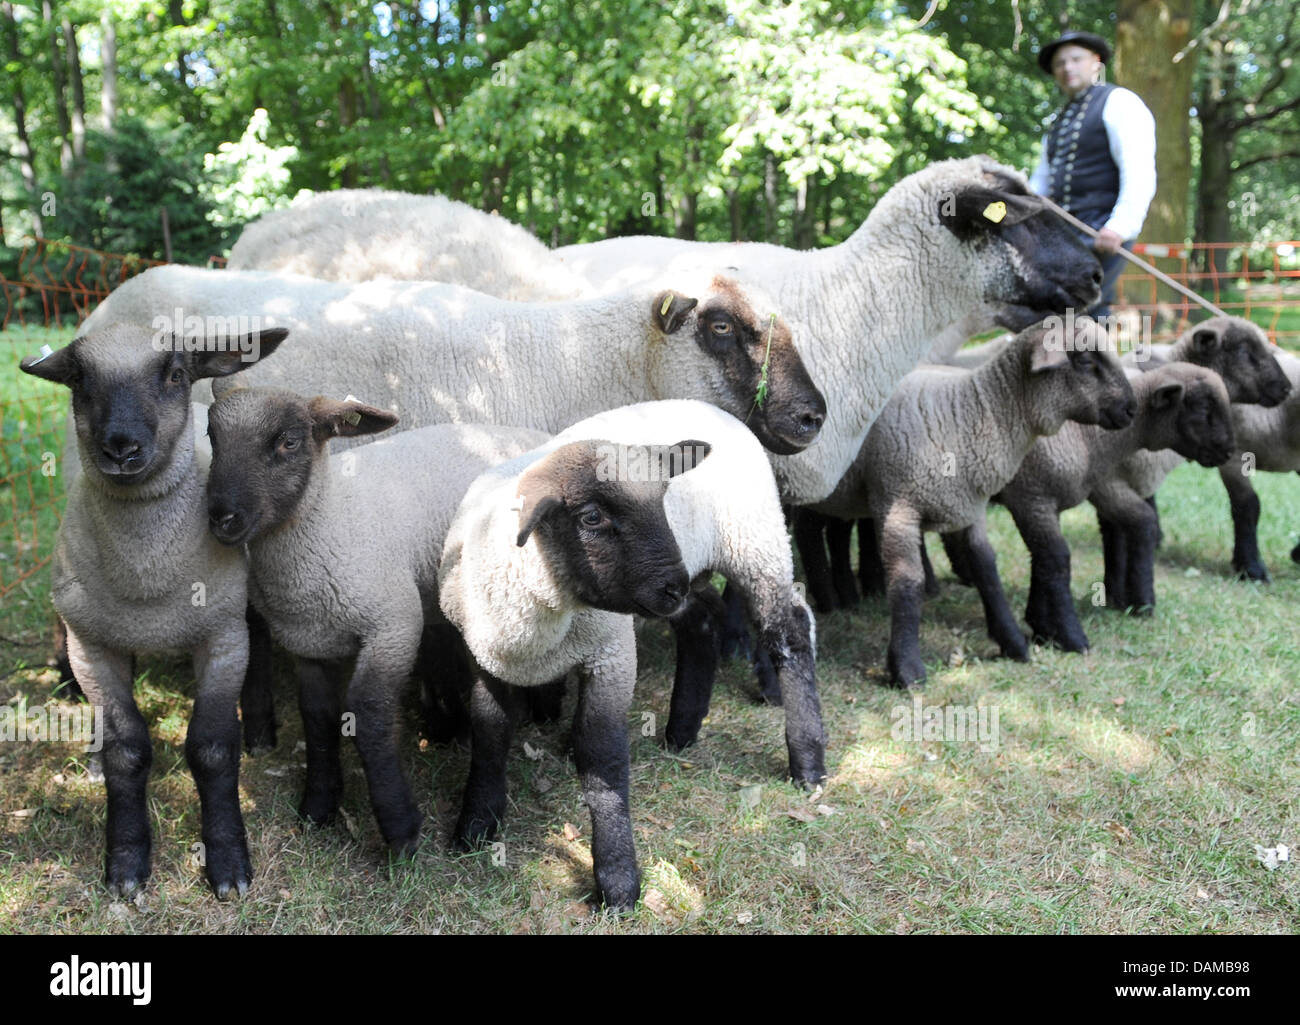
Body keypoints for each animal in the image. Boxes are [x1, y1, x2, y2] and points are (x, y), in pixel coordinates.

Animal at [18, 322, 290, 898]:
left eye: (176, 374)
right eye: (79, 379)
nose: (121, 446)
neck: (147, 577)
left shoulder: (222, 639)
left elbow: (212, 748)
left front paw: (228, 864)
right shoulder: (91, 646)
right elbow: (126, 748)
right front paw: (125, 863)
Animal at [204, 387, 551, 853]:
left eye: (288, 442)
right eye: (212, 436)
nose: (222, 518)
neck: (329, 522)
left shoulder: (392, 625)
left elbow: (367, 714)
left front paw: (401, 830)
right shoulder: (307, 643)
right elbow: (317, 718)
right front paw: (318, 807)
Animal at [802, 318, 1135, 687]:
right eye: (1086, 361)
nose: (1131, 409)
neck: (967, 413)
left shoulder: (970, 508)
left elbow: (988, 570)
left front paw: (1013, 643)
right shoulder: (898, 505)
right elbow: (908, 581)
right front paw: (906, 668)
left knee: (814, 528)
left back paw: (837, 596)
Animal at [997, 362, 1236, 653]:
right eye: (1202, 408)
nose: (1230, 452)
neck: (1089, 436)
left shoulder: (1056, 502)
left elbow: (1043, 561)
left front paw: (1042, 626)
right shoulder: (1031, 499)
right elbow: (1056, 558)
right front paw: (1070, 636)